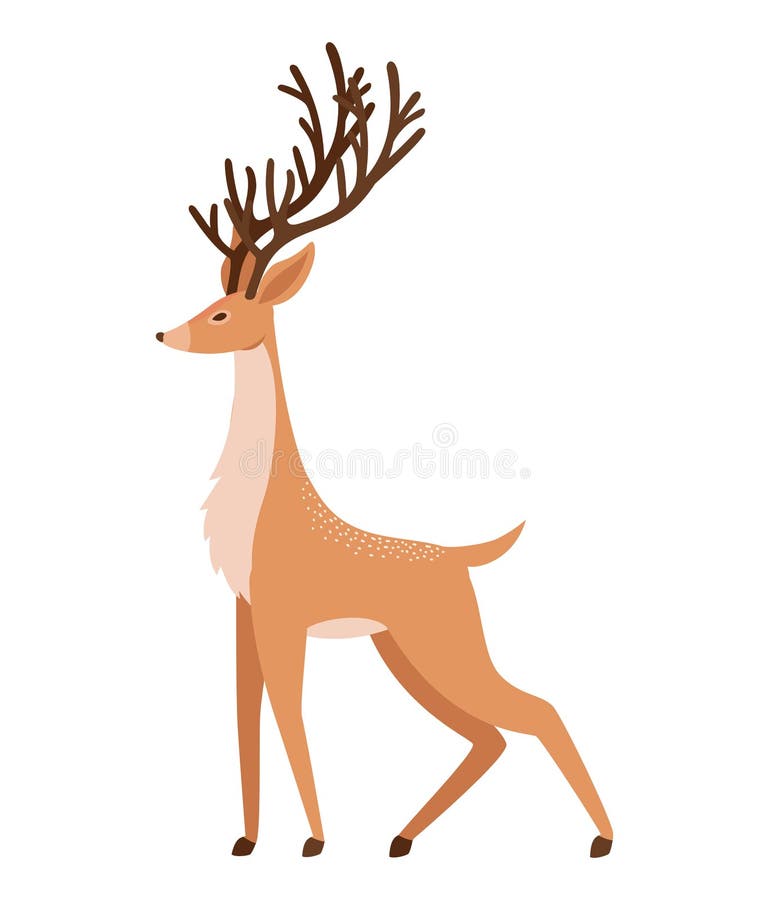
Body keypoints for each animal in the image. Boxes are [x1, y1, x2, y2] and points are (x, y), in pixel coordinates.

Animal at [156, 43, 613, 861]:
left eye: (222, 314)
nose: (162, 332)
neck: (259, 508)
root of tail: (464, 555)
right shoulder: (243, 614)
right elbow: (245, 724)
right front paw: (245, 842)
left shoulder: (282, 614)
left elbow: (291, 718)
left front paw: (312, 841)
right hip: (402, 650)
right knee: (491, 735)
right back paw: (400, 839)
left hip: (442, 643)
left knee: (536, 710)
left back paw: (601, 841)